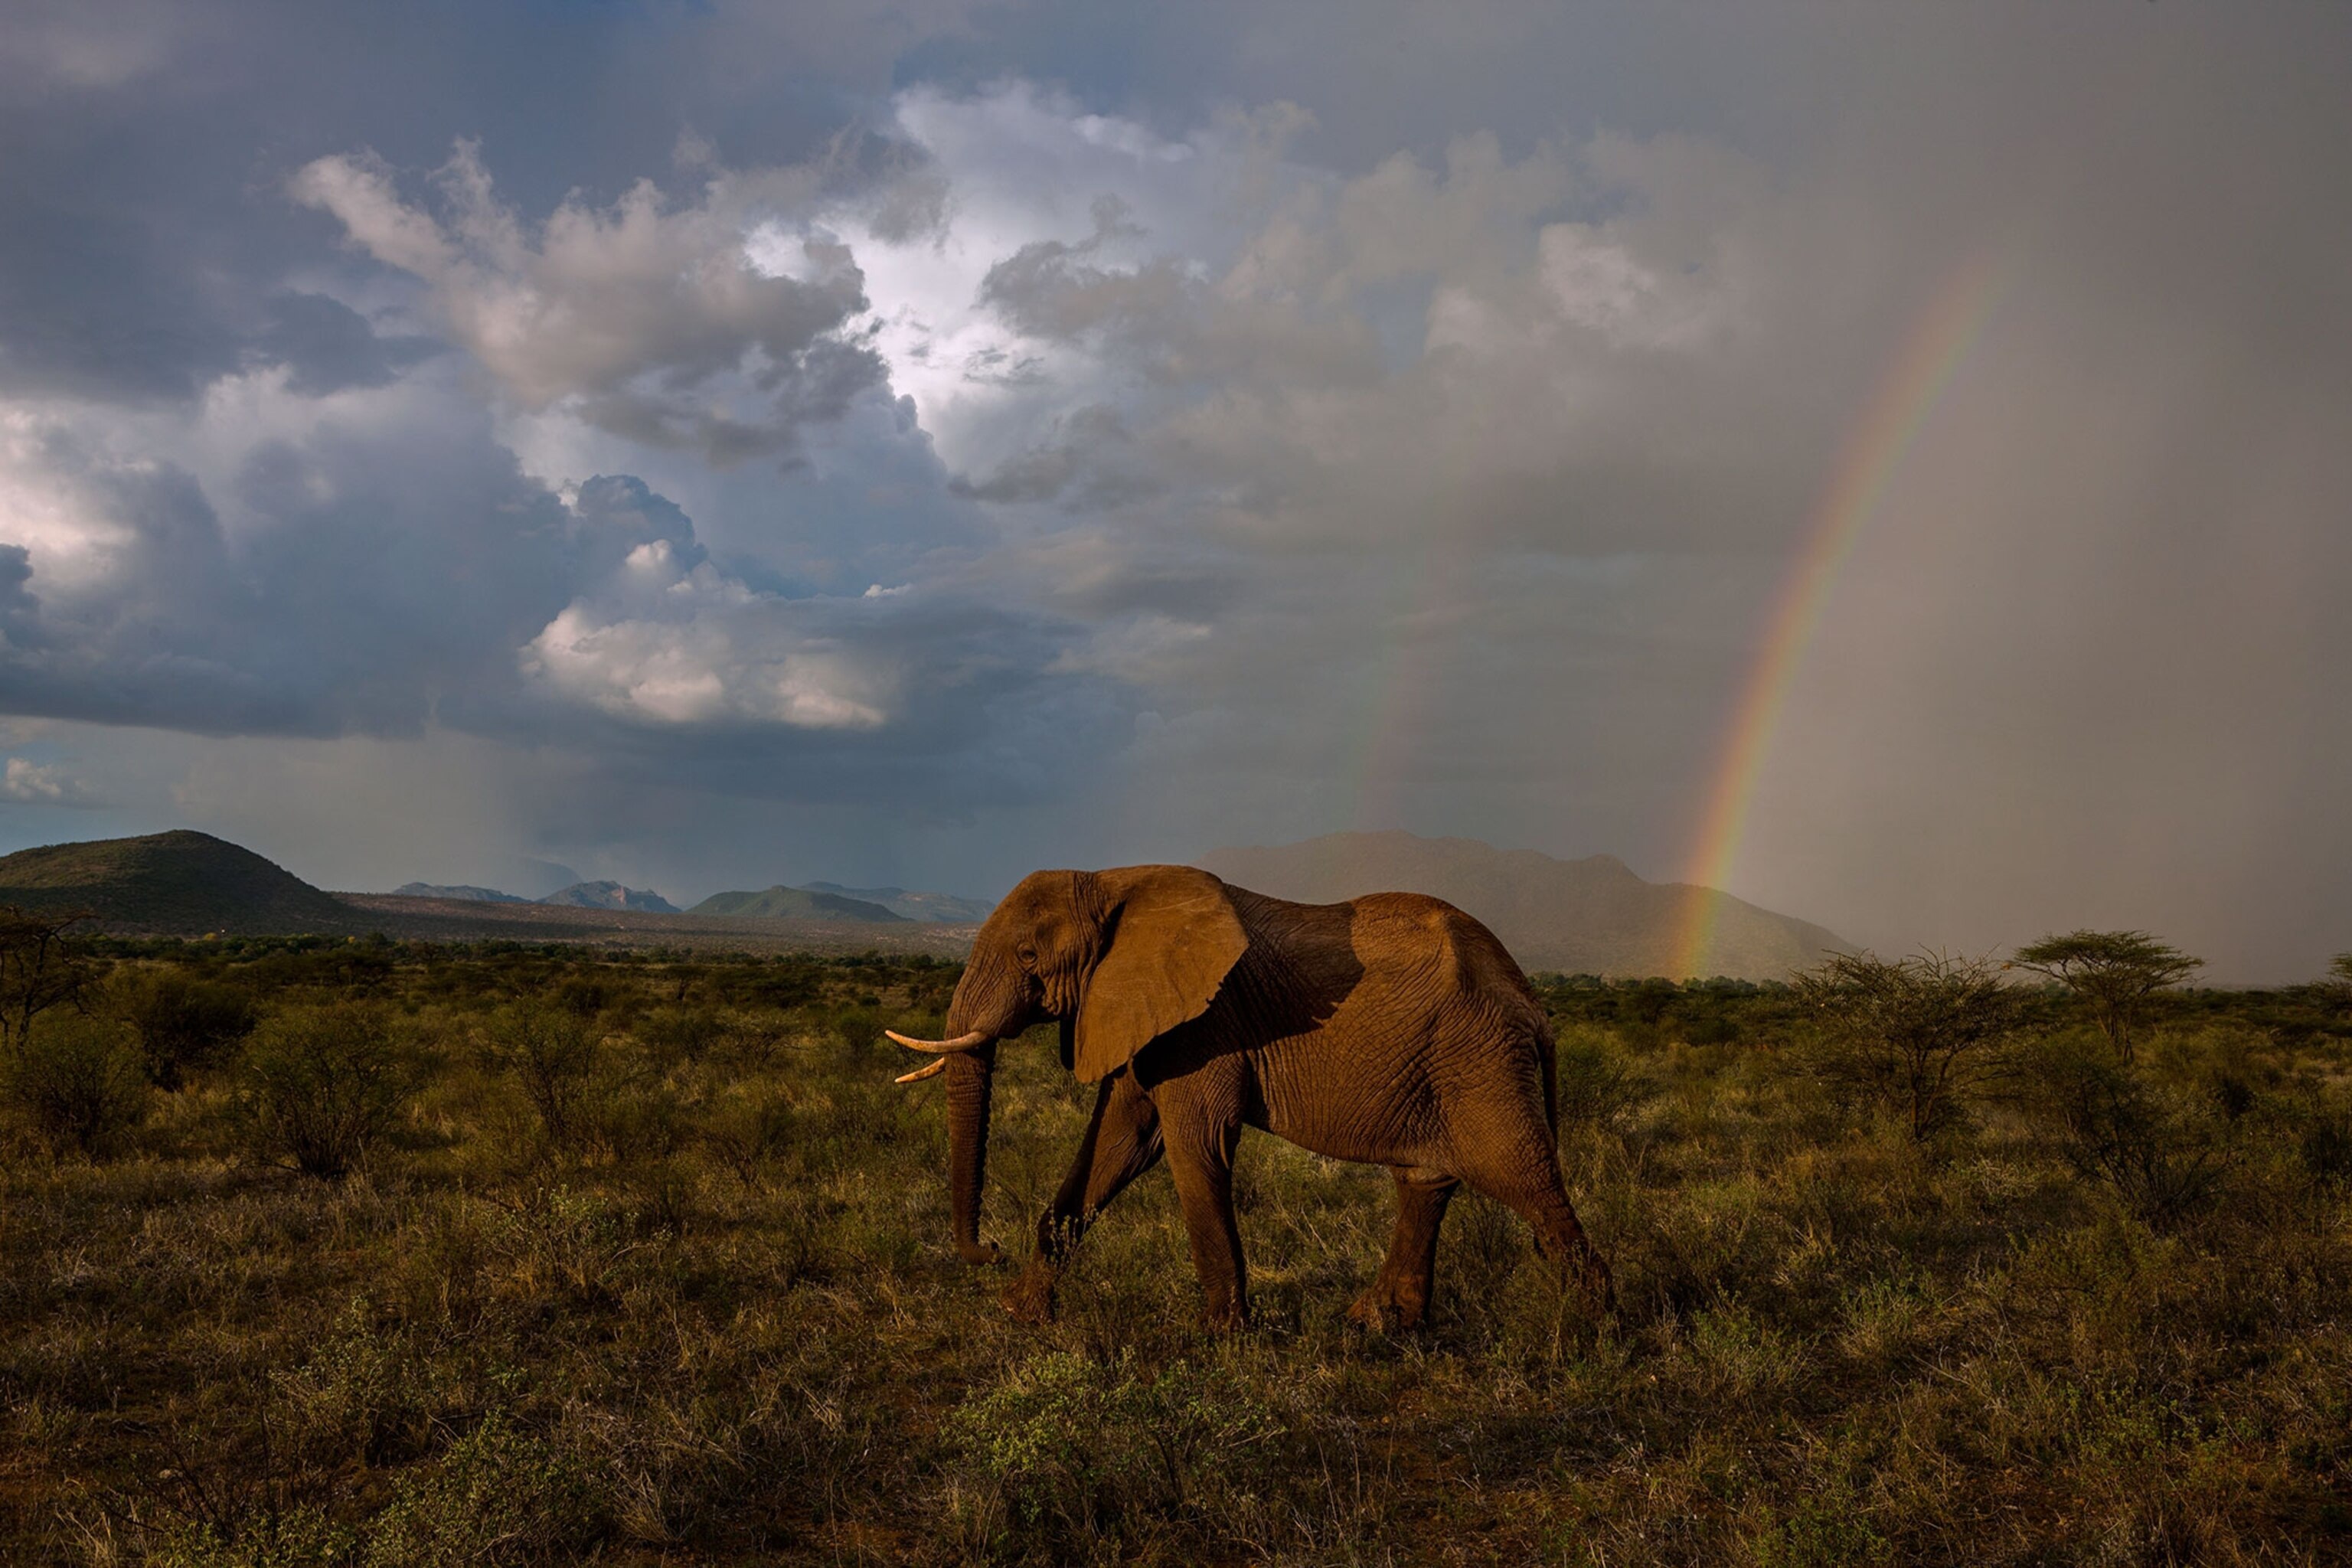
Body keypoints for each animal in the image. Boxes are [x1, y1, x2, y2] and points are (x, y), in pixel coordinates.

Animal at [887, 864, 1613, 1331]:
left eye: (1030, 957)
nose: (990, 1250)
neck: (1110, 880)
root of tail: (1532, 1002)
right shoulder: (1145, 1013)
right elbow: (1120, 1144)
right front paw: (1020, 1313)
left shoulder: (1206, 1023)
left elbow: (1191, 1147)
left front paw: (1219, 1343)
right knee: (1426, 1181)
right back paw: (1377, 1328)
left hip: (1480, 1058)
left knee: (1524, 1180)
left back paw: (1592, 1338)